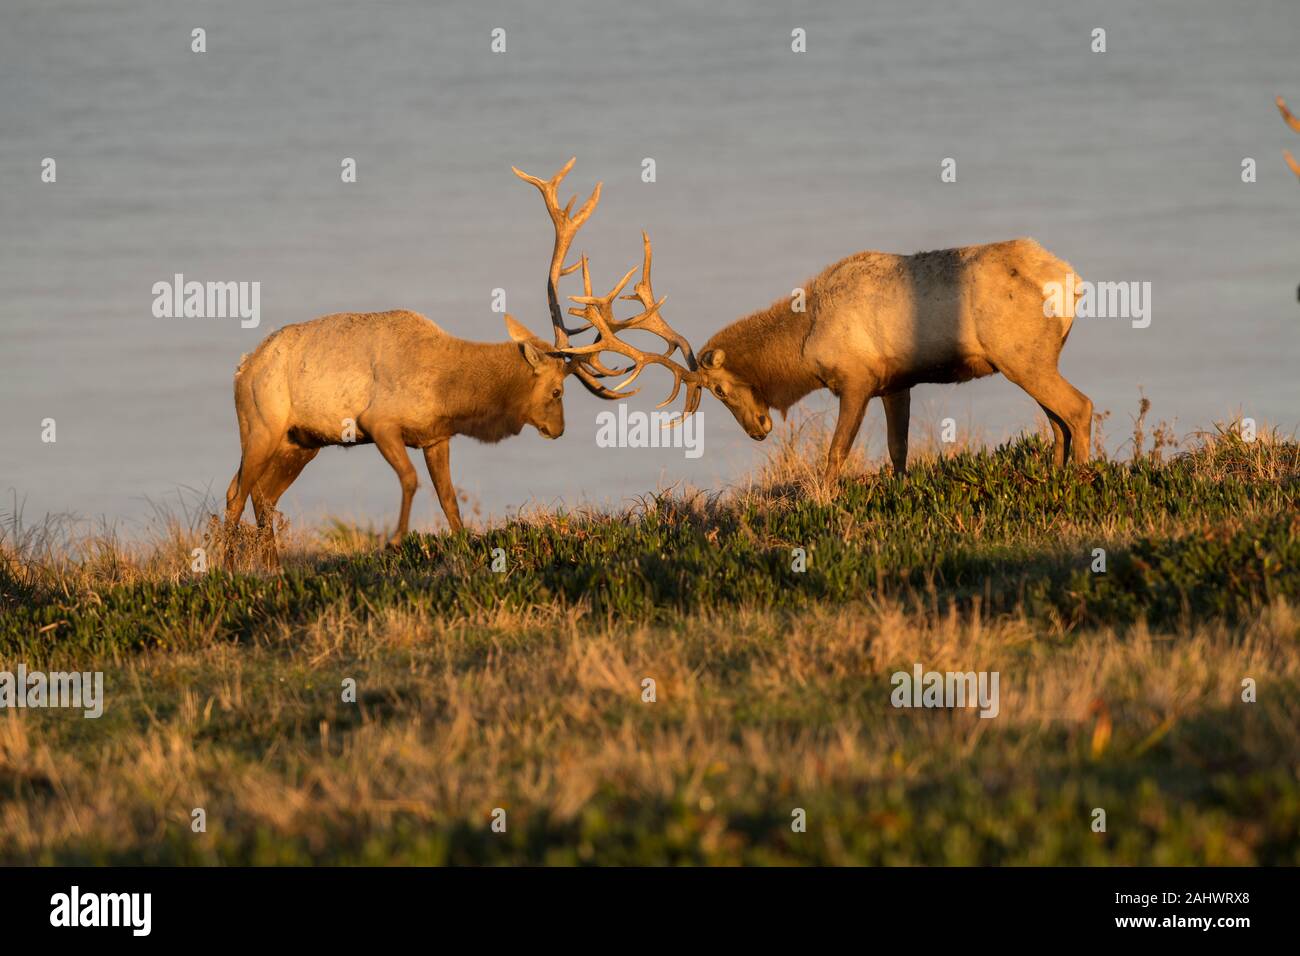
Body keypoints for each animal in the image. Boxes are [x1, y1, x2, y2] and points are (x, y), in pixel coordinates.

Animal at [222, 159, 697, 567]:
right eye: (557, 390)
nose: (559, 430)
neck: (449, 390)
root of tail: (242, 367)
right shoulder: (379, 421)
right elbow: (410, 480)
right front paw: (394, 540)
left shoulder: (436, 436)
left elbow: (449, 500)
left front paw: (464, 548)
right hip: (260, 424)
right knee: (236, 492)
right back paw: (226, 566)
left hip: (301, 441)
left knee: (263, 495)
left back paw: (272, 566)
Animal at [640, 239, 1094, 484]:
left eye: (718, 388)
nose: (757, 429)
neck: (803, 343)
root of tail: (1070, 281)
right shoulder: (896, 383)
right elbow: (898, 450)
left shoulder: (856, 379)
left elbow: (836, 452)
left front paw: (824, 501)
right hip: (1029, 360)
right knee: (1057, 421)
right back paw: (1055, 476)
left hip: (1023, 357)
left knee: (1079, 408)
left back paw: (1082, 480)